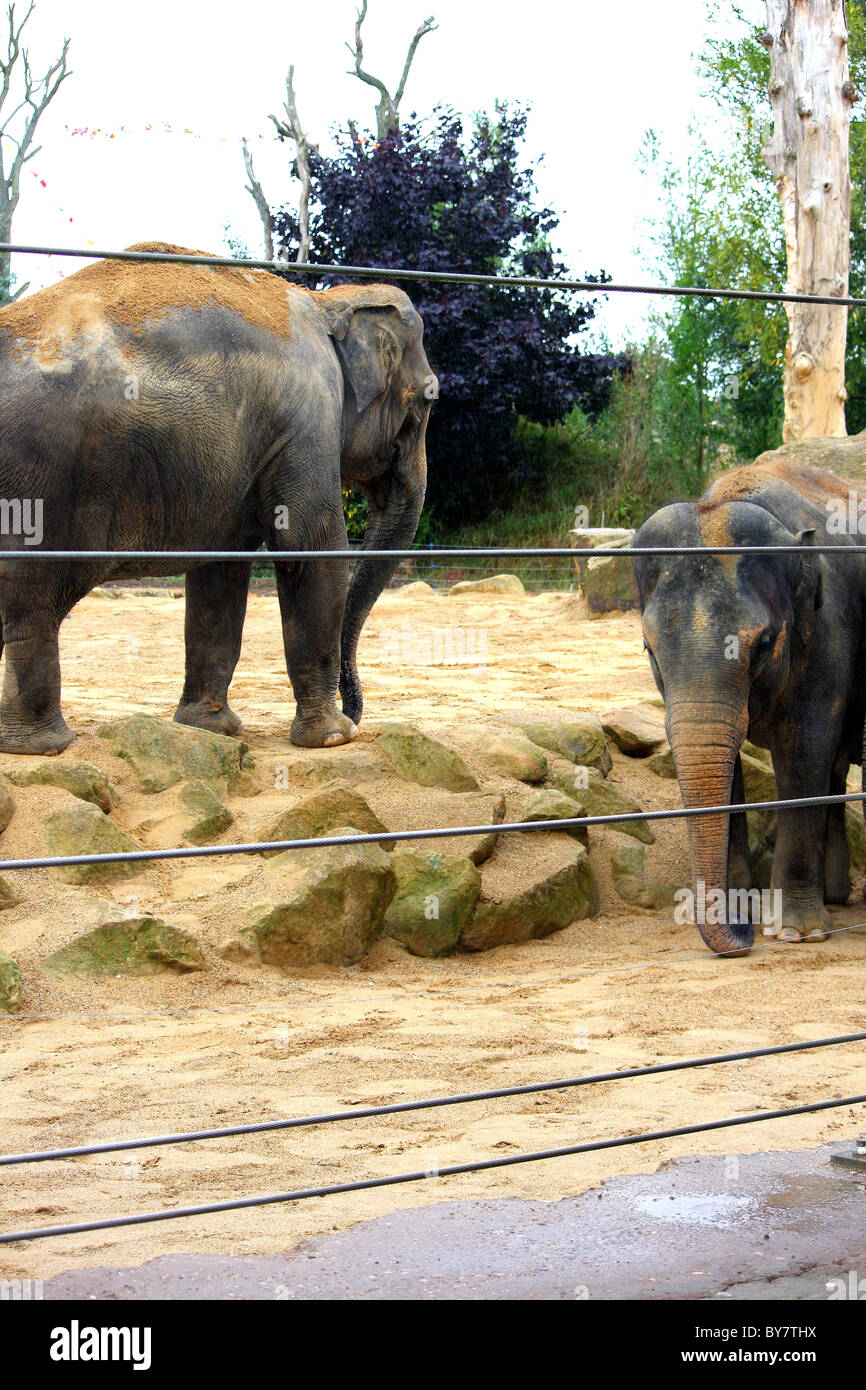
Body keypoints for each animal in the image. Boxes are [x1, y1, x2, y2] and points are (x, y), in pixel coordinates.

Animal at [0, 242, 435, 754]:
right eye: (428, 401)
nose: (356, 714)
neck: (328, 300)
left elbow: (222, 568)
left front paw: (211, 729)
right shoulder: (306, 423)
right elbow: (311, 546)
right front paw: (331, 739)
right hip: (40, 480)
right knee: (33, 600)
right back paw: (43, 746)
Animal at [632, 457, 866, 957]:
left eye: (762, 645)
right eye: (648, 648)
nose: (743, 930)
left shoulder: (828, 627)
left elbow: (805, 748)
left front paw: (797, 931)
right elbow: (727, 759)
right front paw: (745, 908)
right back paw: (836, 895)